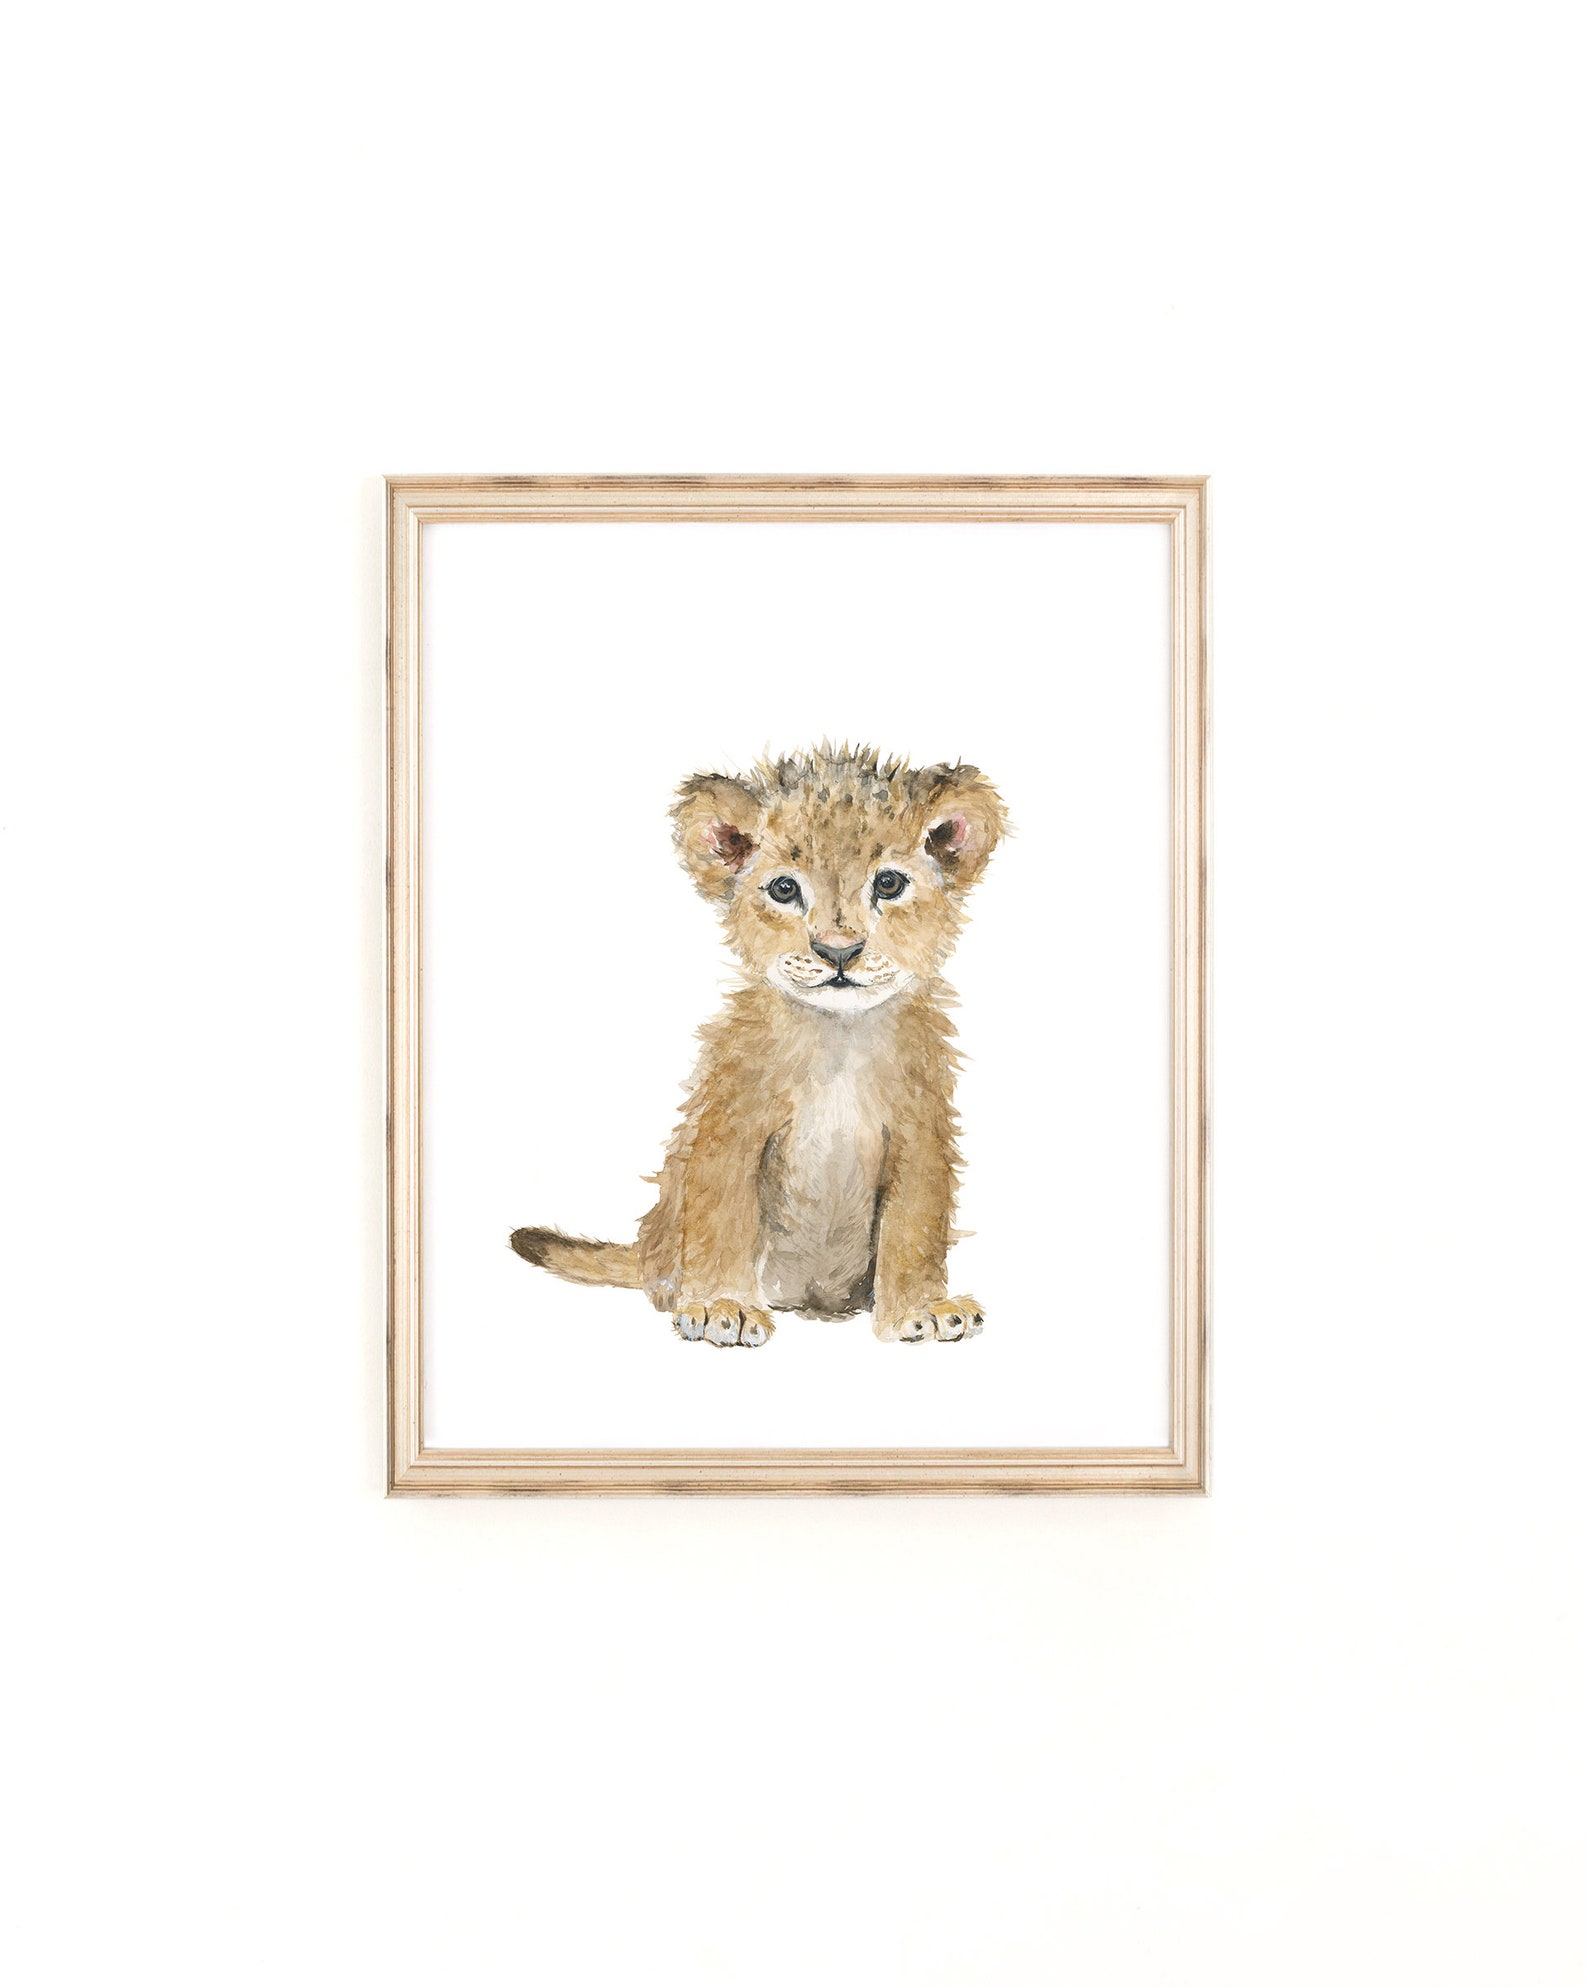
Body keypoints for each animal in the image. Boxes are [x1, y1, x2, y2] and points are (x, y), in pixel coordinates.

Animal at [510, 743, 1007, 1347]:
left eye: (888, 884)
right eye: (784, 889)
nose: (837, 951)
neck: (838, 1039)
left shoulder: (921, 1136)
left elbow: (914, 1226)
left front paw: (920, 1309)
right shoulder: (730, 1126)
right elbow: (721, 1215)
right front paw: (720, 1305)